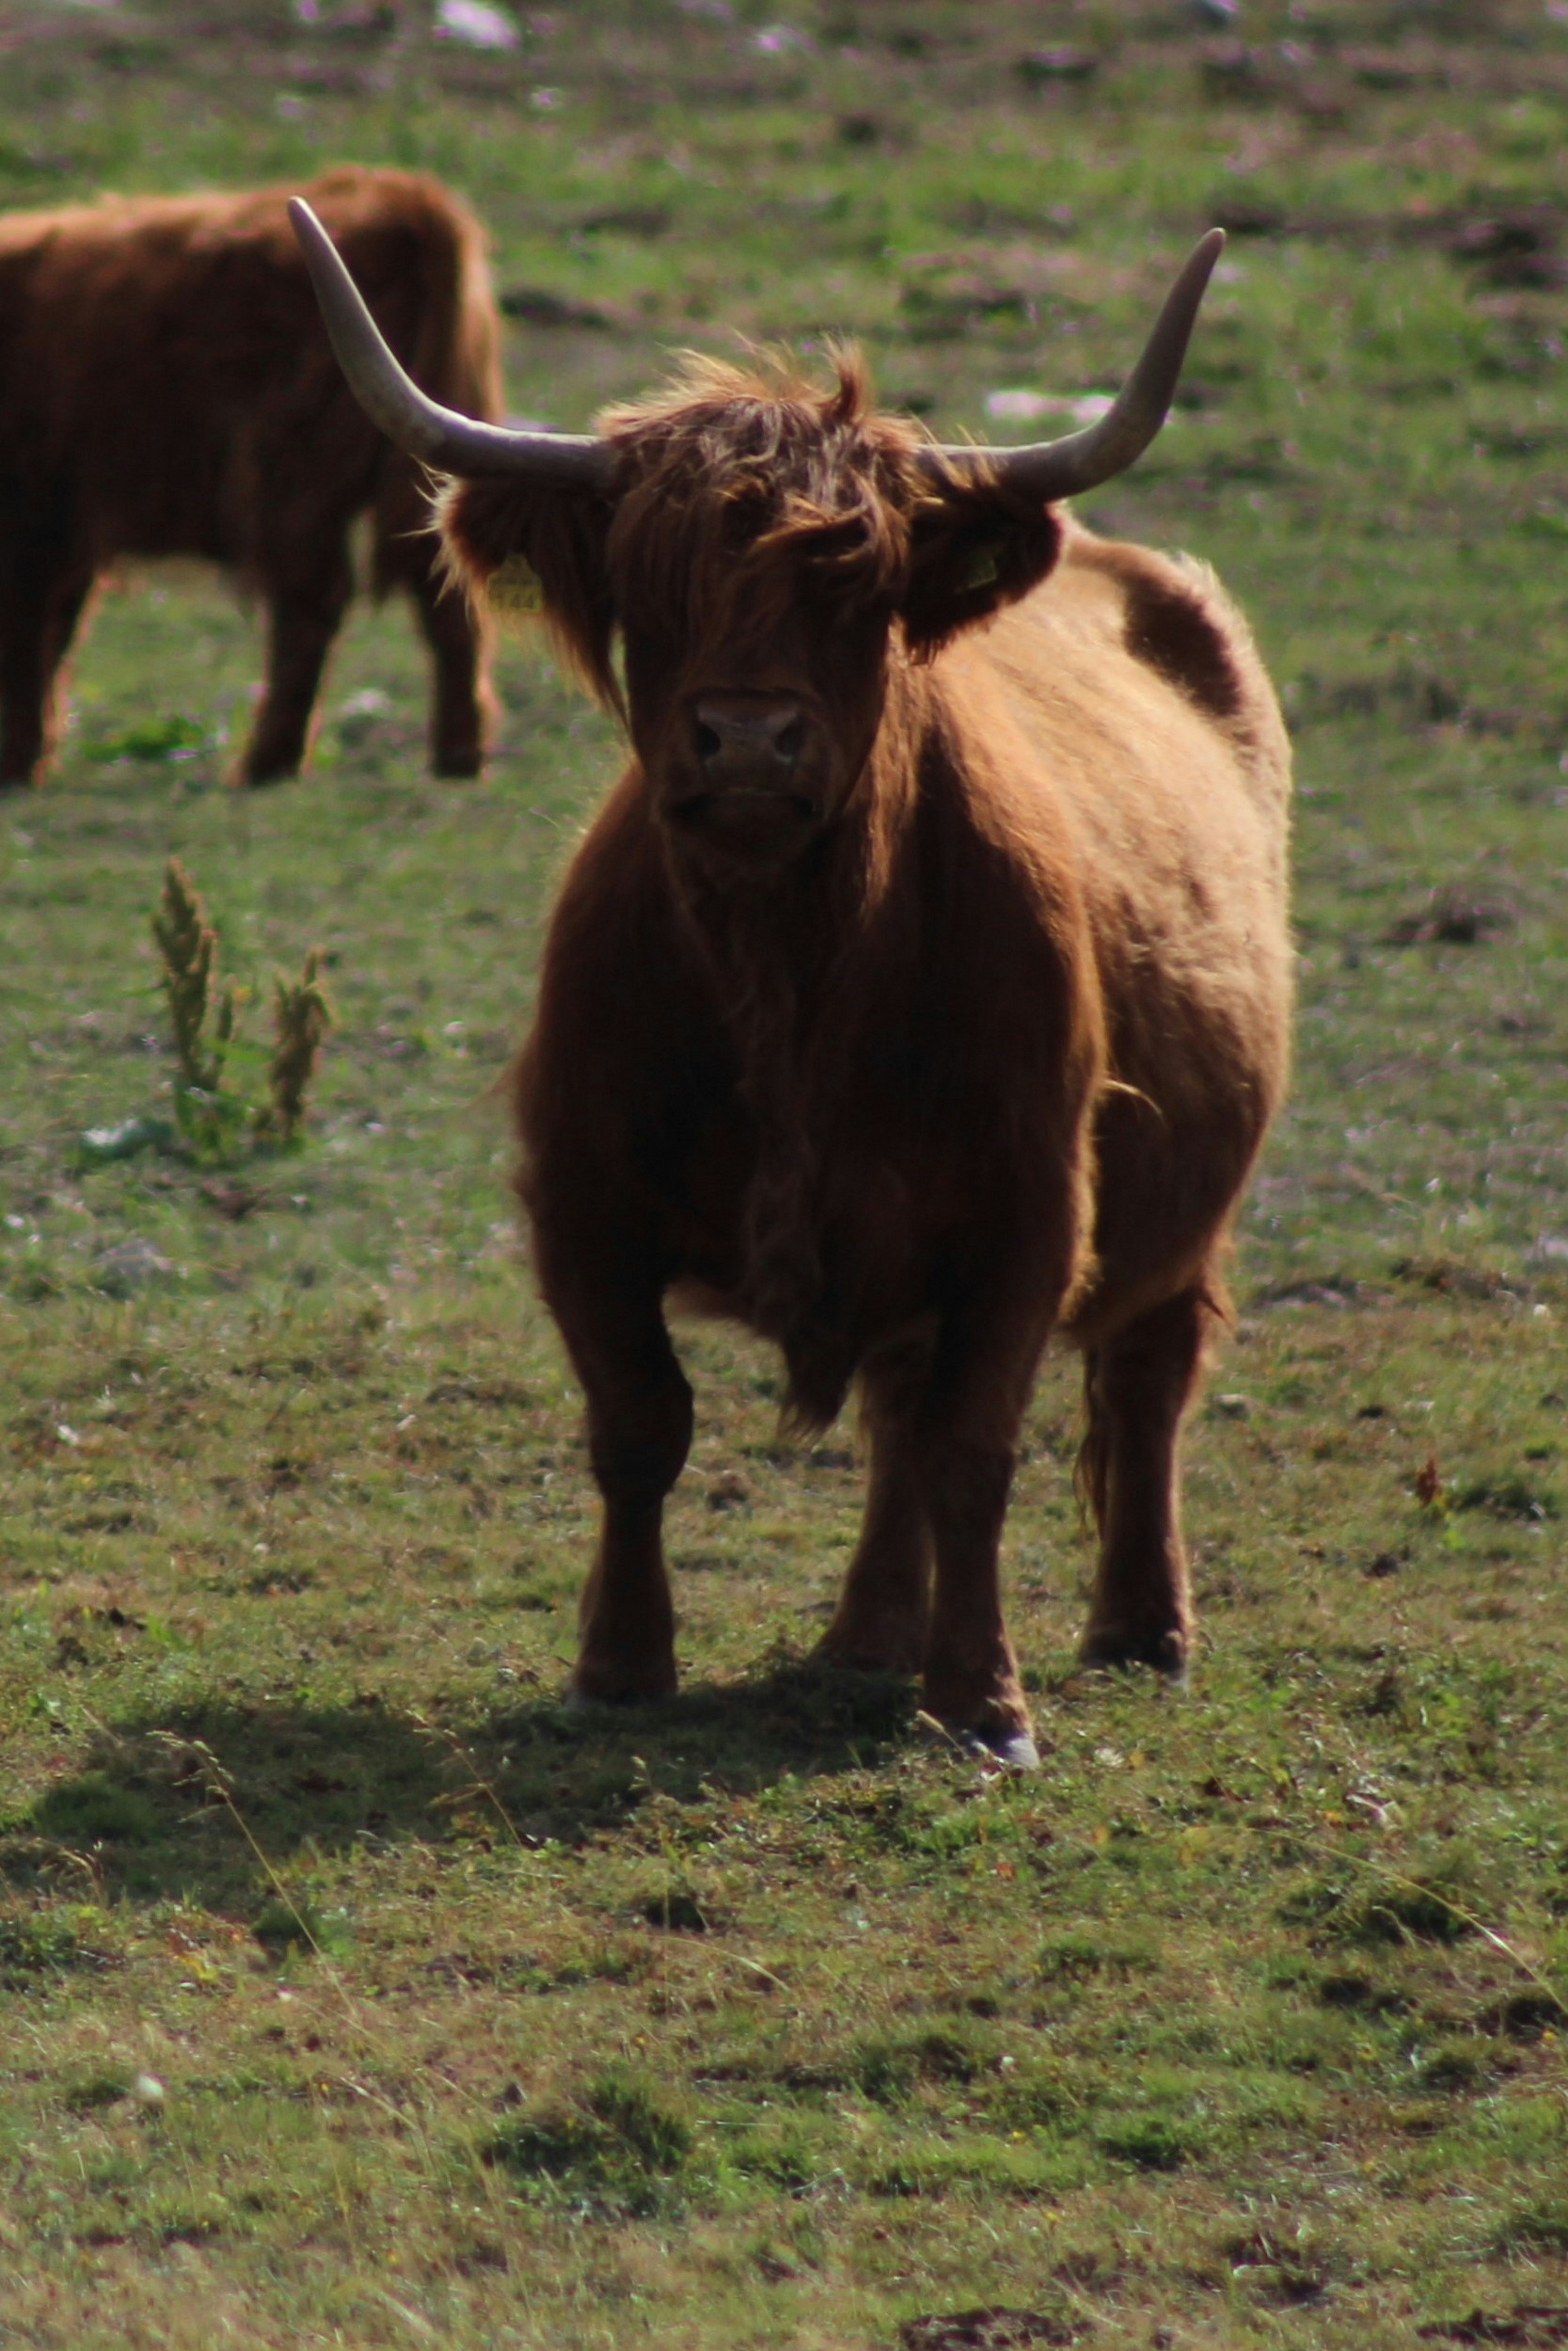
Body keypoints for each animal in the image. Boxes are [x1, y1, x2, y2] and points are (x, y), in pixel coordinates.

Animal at [0, 167, 501, 790]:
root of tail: (403, 198)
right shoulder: (66, 523)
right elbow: (53, 637)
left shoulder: (33, 514)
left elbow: (25, 641)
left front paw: (17, 761)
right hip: (432, 447)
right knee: (442, 595)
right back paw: (457, 758)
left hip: (290, 473)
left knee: (312, 604)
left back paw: (266, 764)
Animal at [292, 200, 1293, 1765]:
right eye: (649, 585)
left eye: (862, 590)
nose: (751, 742)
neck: (787, 976)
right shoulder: (580, 1198)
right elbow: (642, 1424)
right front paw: (620, 1667)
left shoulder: (1027, 1210)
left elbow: (975, 1447)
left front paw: (984, 1703)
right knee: (898, 1409)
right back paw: (862, 1643)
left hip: (1187, 1203)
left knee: (1145, 1371)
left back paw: (1141, 1629)